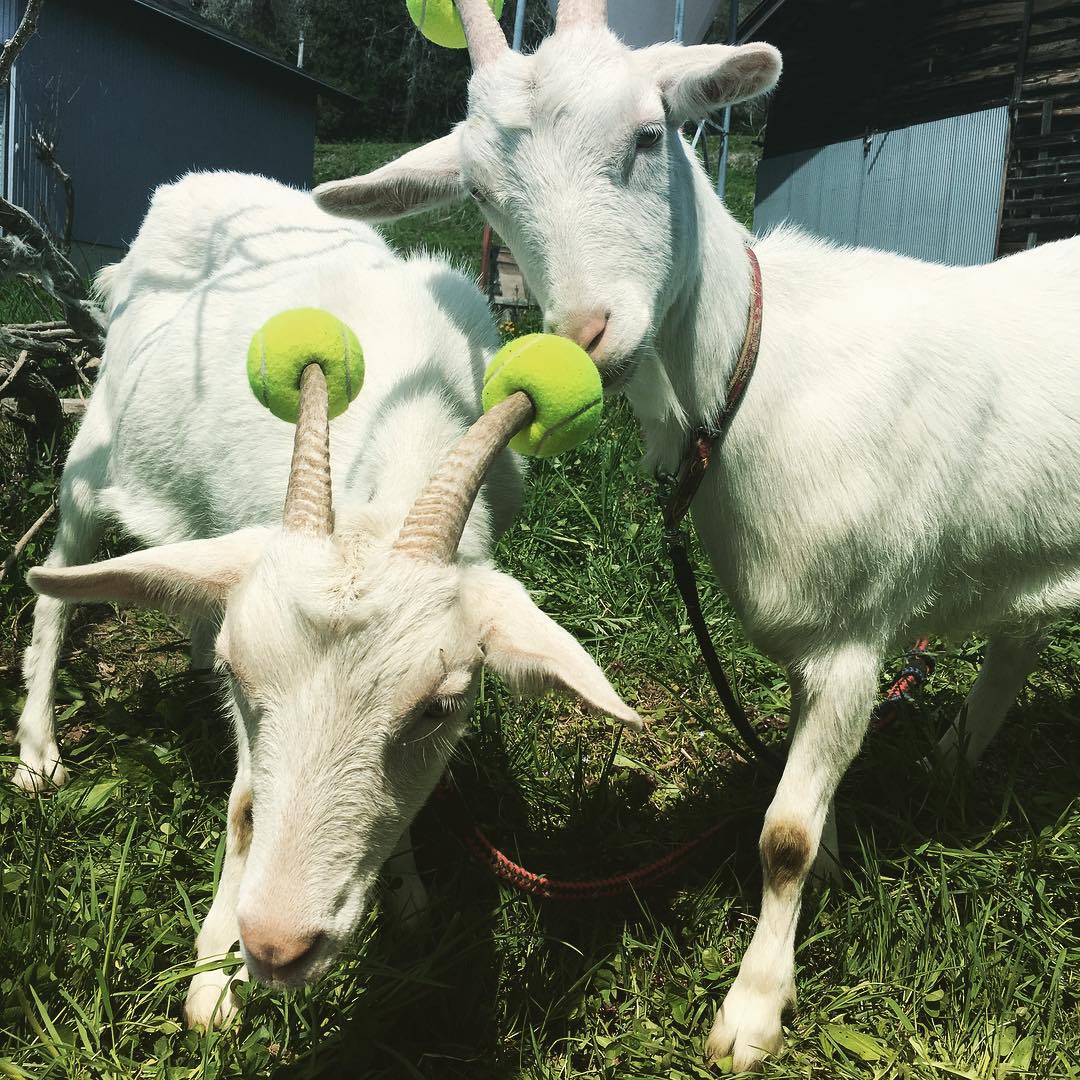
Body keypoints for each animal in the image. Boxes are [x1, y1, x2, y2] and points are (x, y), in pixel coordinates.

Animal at [15, 170, 639, 1030]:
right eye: (243, 678)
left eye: (439, 708)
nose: (278, 944)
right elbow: (246, 800)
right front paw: (215, 981)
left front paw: (406, 900)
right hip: (93, 452)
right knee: (55, 586)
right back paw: (38, 750)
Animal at [313, 1, 1080, 1069]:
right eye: (484, 196)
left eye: (649, 135)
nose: (582, 340)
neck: (752, 376)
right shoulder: (814, 639)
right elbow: (800, 782)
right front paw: (834, 868)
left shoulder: (855, 635)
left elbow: (783, 834)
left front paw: (754, 1010)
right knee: (1016, 642)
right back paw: (948, 769)